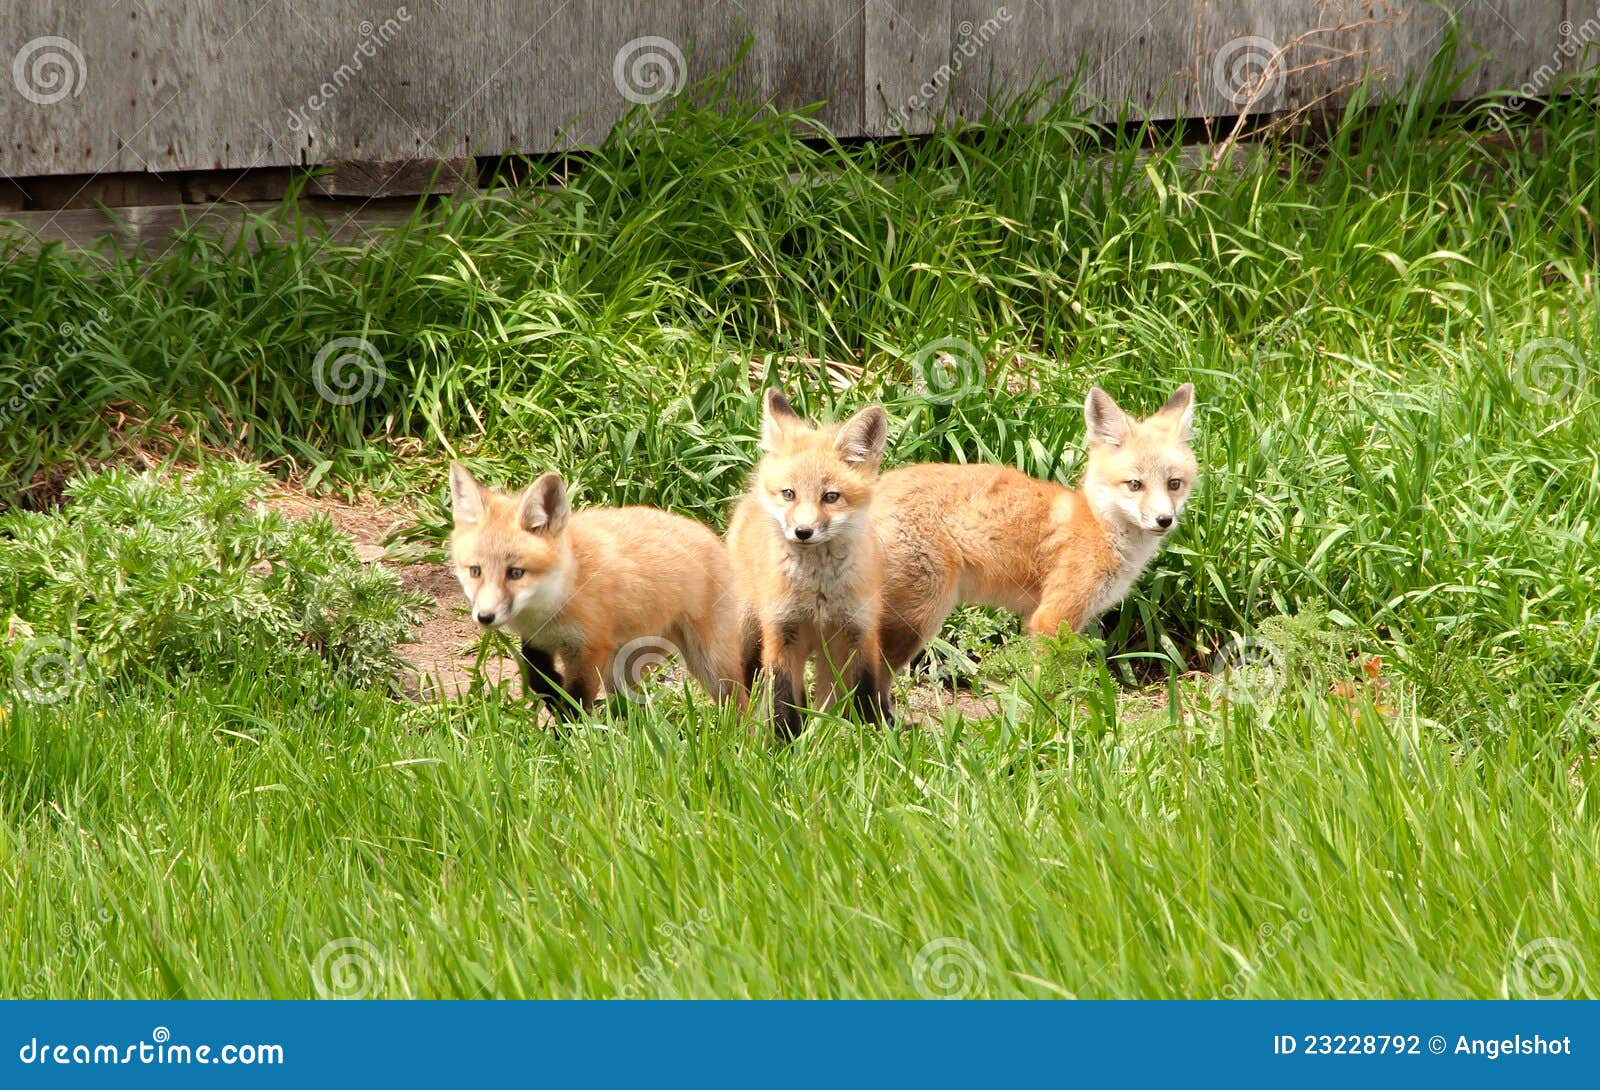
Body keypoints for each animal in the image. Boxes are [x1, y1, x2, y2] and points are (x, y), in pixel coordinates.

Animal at [448, 463, 744, 715]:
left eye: (515, 573)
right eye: (475, 571)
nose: (485, 617)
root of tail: (710, 533)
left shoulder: (590, 648)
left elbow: (576, 702)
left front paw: (566, 737)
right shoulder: (536, 639)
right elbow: (536, 675)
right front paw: (553, 693)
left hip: (711, 663)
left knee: (741, 702)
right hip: (625, 667)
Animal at [725, 390, 894, 739]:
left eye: (830, 497)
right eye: (789, 493)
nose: (803, 532)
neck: (819, 593)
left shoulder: (860, 632)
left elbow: (864, 694)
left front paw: (870, 739)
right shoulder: (781, 631)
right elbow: (781, 699)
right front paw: (782, 745)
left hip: (828, 655)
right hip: (746, 629)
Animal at [874, 384, 1198, 669]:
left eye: (1174, 484)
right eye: (1134, 484)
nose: (1164, 520)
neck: (1098, 525)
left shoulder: (1035, 616)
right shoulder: (1053, 616)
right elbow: (1049, 684)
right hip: (919, 616)